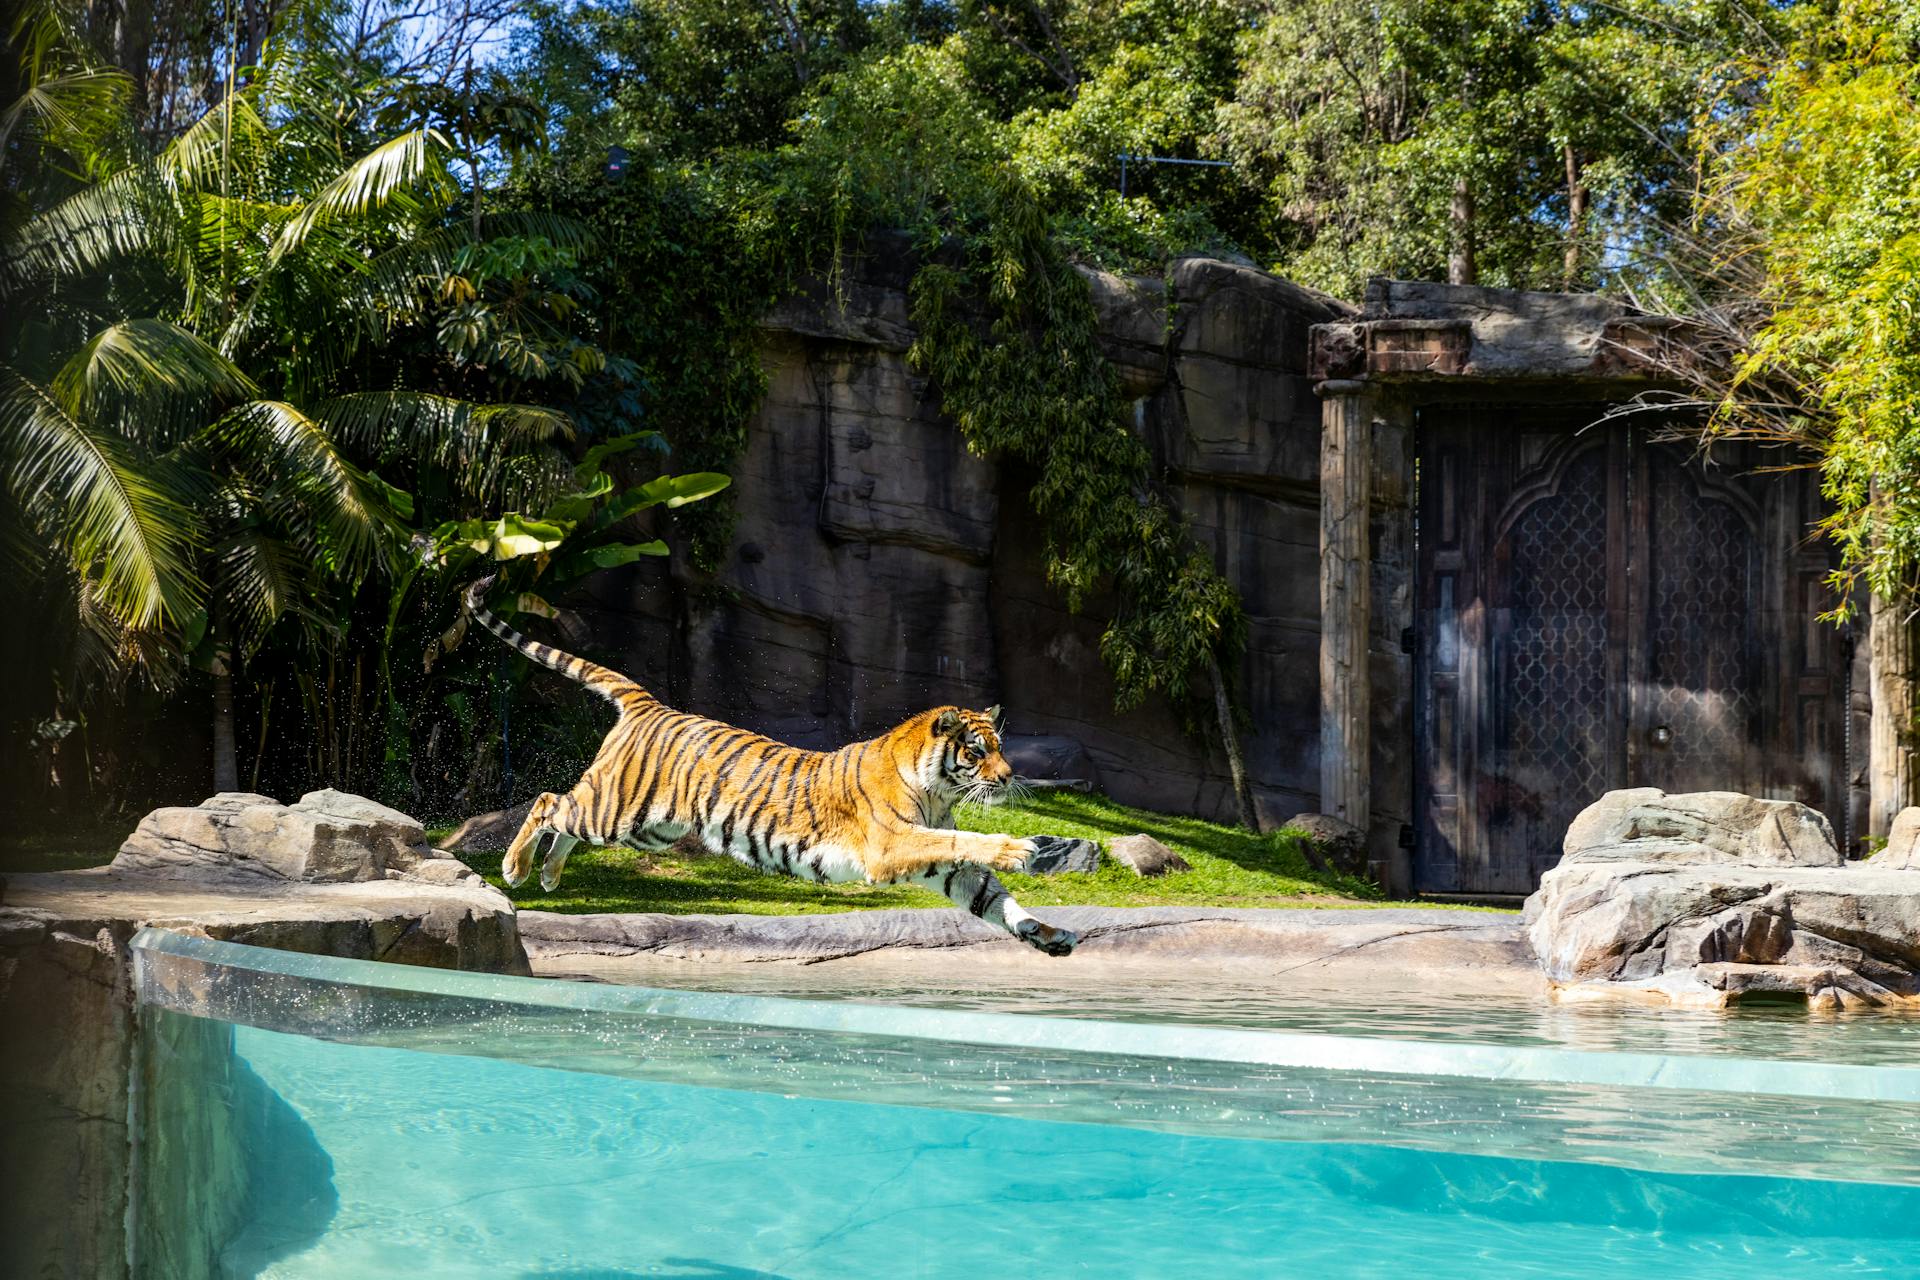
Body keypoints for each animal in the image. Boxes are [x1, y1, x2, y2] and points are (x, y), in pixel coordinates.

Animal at [462, 575, 1082, 955]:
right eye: (978, 752)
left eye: (999, 747)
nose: (1008, 778)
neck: (937, 789)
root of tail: (653, 705)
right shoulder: (891, 845)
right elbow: (966, 843)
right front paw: (1019, 848)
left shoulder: (940, 866)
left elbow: (993, 898)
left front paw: (1045, 933)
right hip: (617, 810)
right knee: (547, 802)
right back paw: (517, 869)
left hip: (648, 829)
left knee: (563, 818)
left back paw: (548, 874)